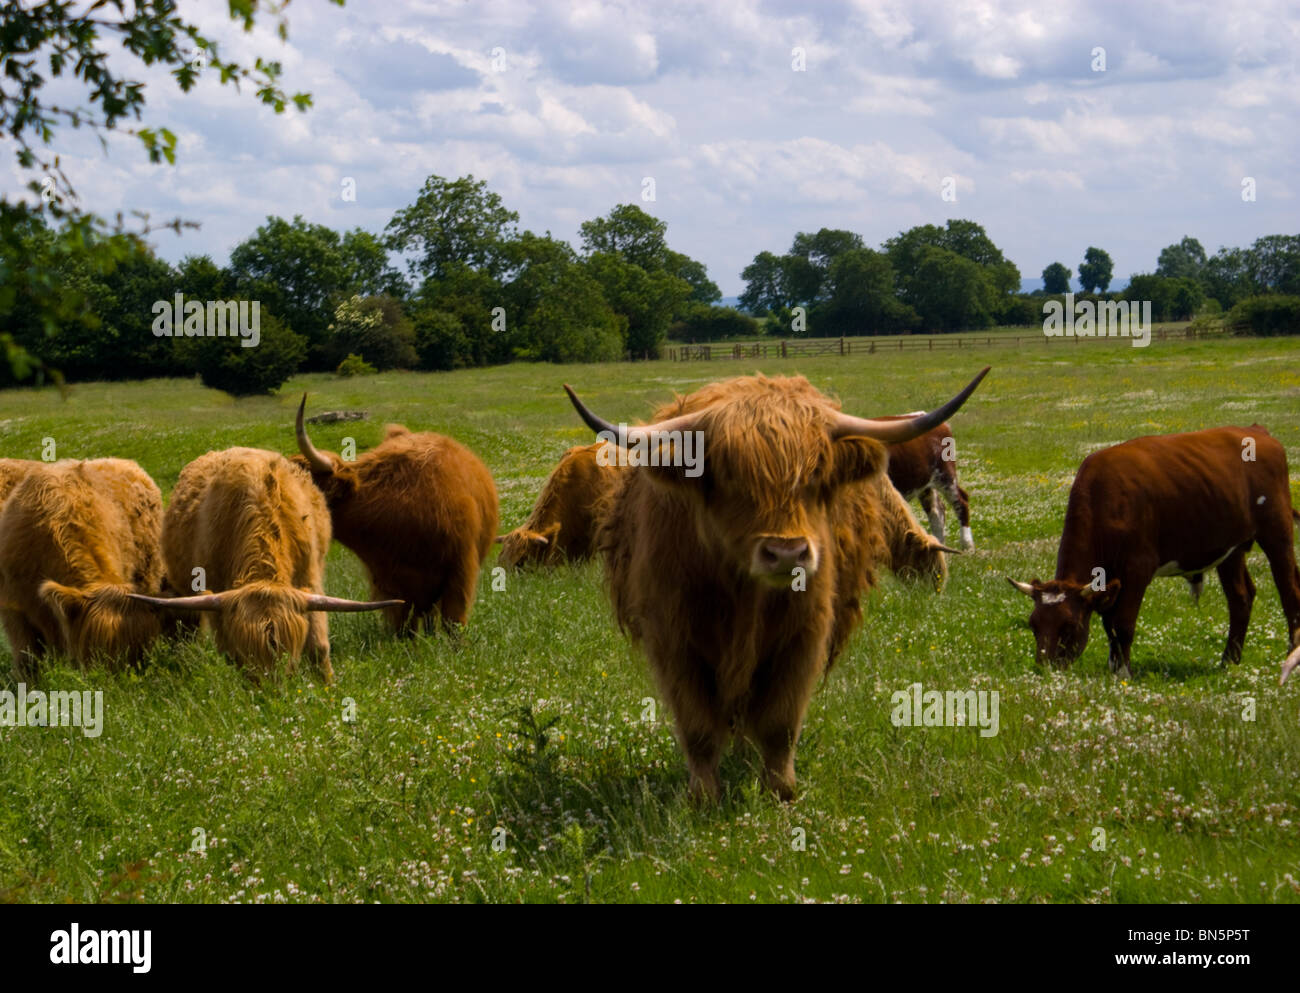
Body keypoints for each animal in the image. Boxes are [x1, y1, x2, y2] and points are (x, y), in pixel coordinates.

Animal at [1008, 425, 1300, 679]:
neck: (1105, 497)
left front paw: (1123, 673)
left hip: (1277, 531)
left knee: (1289, 592)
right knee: (1241, 598)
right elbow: (1109, 624)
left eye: (1069, 626)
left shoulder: (1137, 568)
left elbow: (1123, 623)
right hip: (1231, 549)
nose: (1044, 670)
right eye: (1033, 624)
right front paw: (1114, 666)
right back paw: (1228, 662)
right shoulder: (1110, 581)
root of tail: (1256, 430)